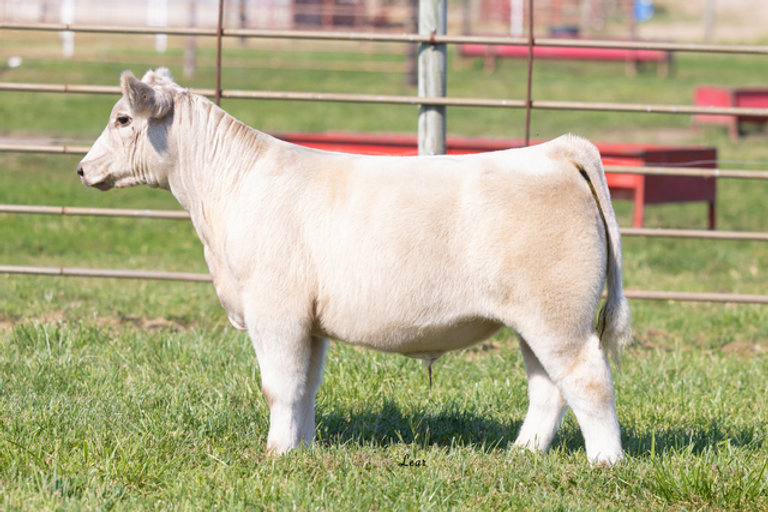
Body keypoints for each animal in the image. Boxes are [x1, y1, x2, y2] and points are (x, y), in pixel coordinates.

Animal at [77, 68, 631, 465]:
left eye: (123, 119)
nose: (82, 168)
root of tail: (556, 150)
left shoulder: (274, 311)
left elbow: (279, 385)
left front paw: (274, 453)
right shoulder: (308, 322)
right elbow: (305, 387)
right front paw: (298, 449)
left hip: (557, 316)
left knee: (587, 379)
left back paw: (605, 462)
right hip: (536, 319)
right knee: (548, 387)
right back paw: (522, 453)